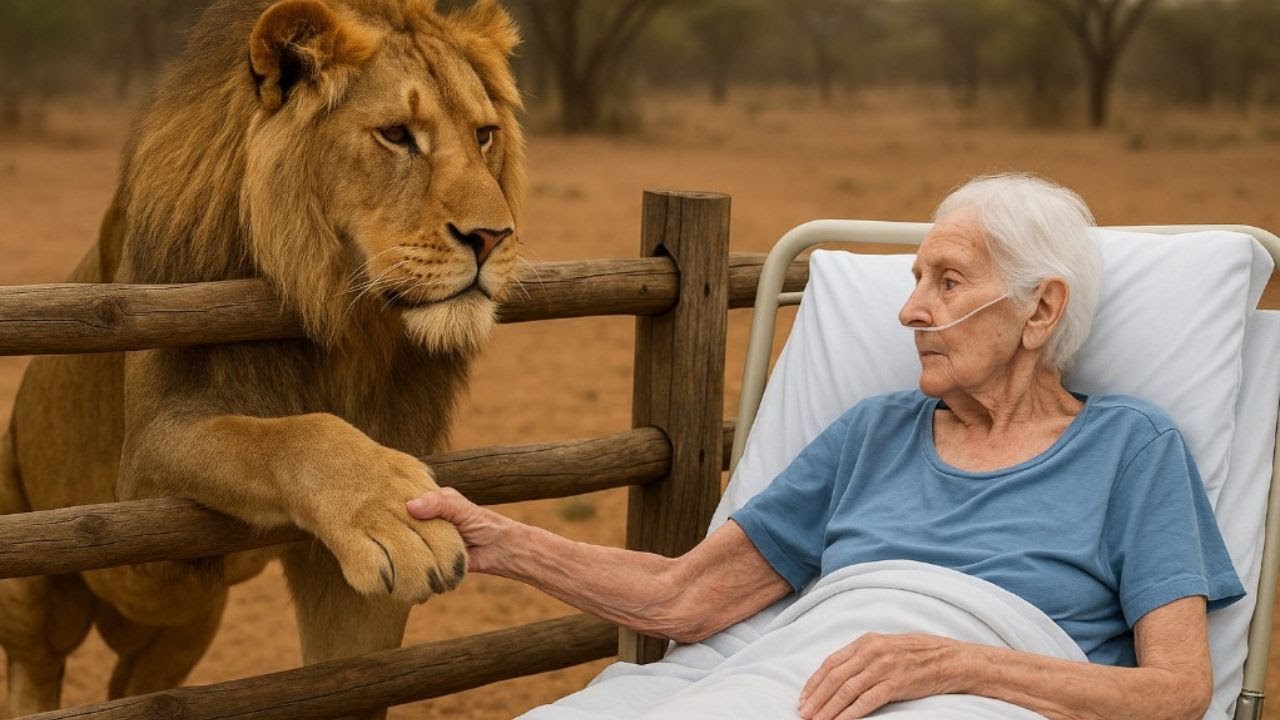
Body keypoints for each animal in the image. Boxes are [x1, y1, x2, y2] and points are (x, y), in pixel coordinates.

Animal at [0, 0, 525, 716]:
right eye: (396, 135)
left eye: (484, 135)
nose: (493, 237)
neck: (341, 315)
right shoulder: (144, 468)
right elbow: (291, 433)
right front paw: (389, 505)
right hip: (33, 589)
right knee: (38, 668)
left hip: (187, 631)